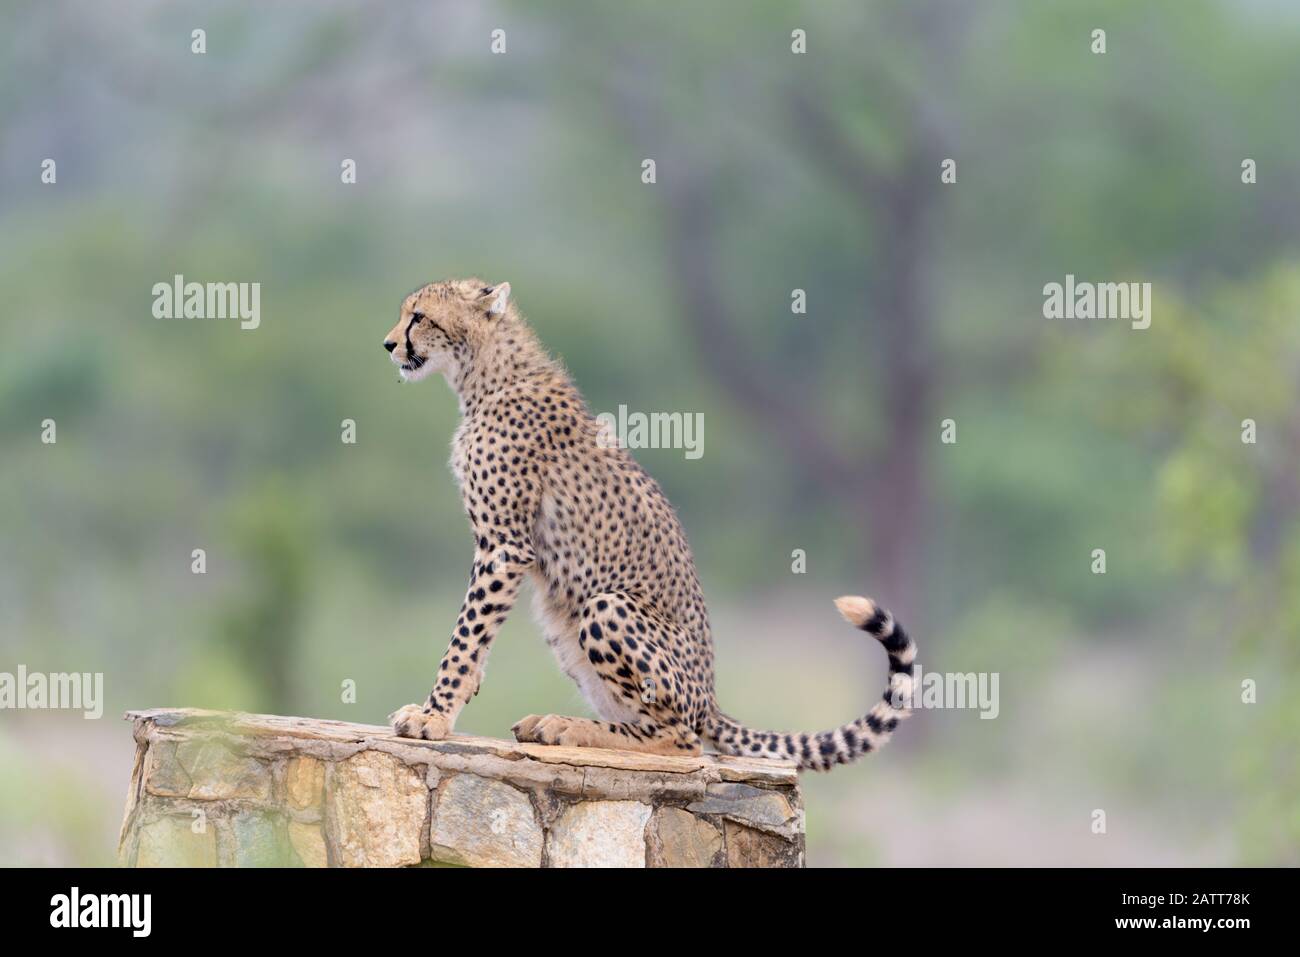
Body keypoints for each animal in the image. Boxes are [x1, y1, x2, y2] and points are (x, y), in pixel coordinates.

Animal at [382, 278, 916, 770]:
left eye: (419, 317)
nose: (388, 345)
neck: (485, 374)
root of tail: (711, 700)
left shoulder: (504, 546)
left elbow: (466, 637)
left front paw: (434, 716)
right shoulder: (502, 547)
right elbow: (475, 637)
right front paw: (456, 699)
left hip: (607, 605)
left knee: (681, 739)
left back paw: (567, 726)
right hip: (564, 625)